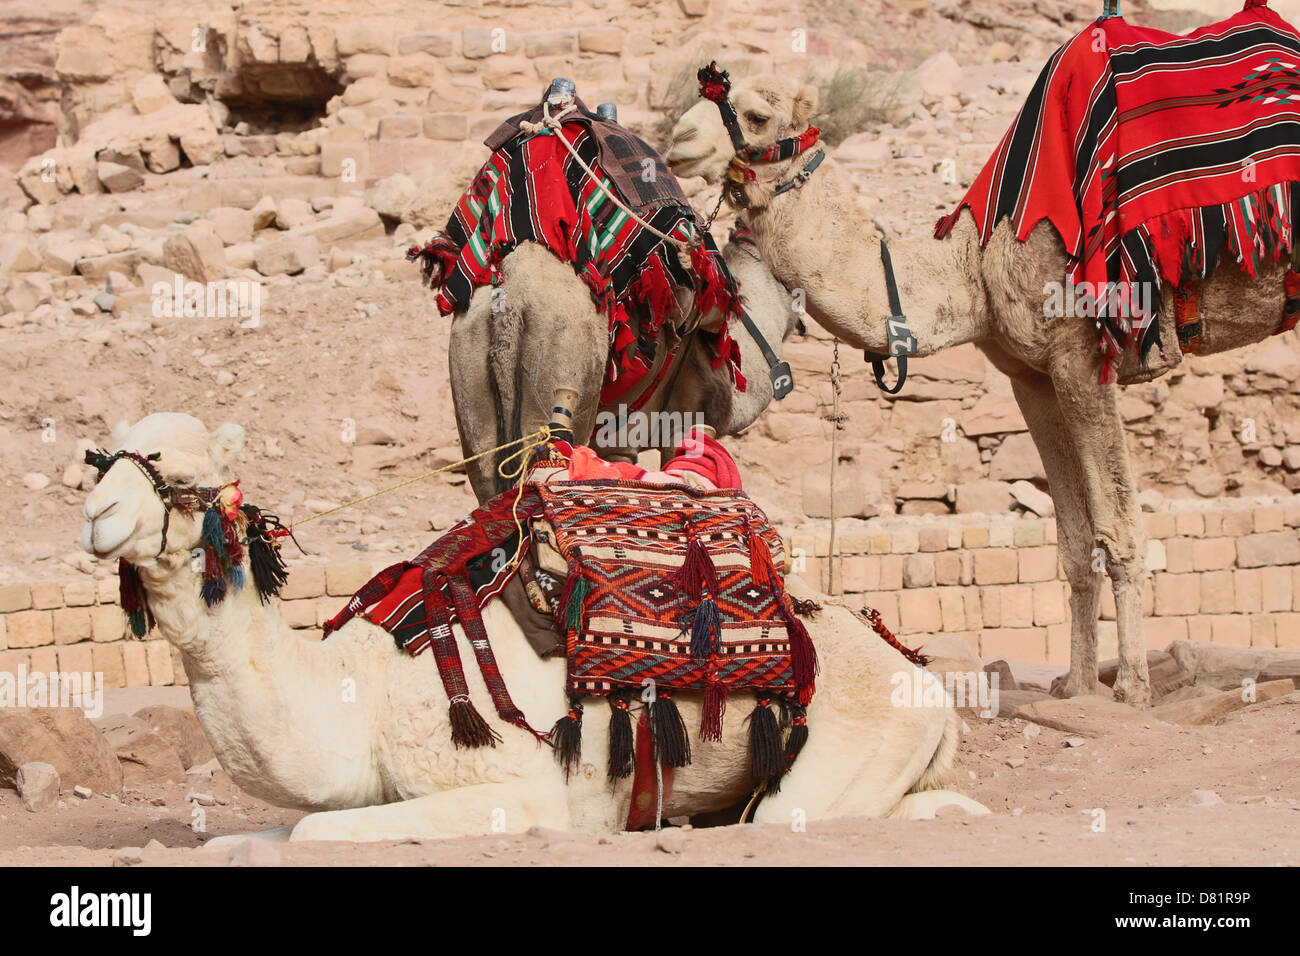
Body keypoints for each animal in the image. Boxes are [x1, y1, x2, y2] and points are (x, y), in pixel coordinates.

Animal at [80, 412, 986, 842]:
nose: (95, 514)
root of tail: (920, 673)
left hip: (859, 738)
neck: (361, 696)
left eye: (177, 467)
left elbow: (307, 829)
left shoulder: (519, 789)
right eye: (102, 456)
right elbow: (255, 838)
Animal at [665, 75, 1292, 709]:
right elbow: (1073, 542)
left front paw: (1132, 691)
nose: (678, 140)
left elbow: (1118, 530)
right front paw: (1076, 686)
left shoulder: (1082, 354)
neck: (973, 267)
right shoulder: (1033, 375)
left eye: (757, 116)